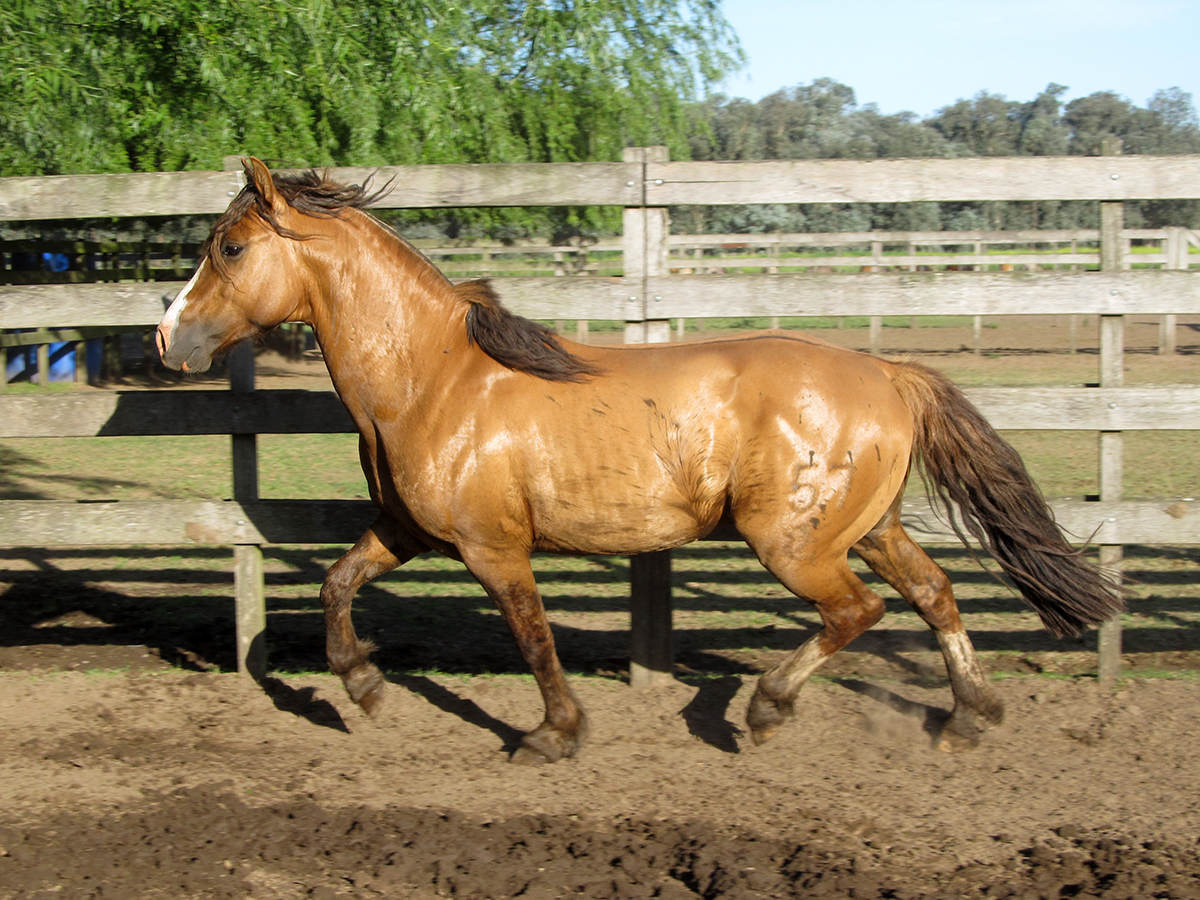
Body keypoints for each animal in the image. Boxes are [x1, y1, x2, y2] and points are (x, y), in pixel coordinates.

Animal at [157, 158, 1123, 764]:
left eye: (230, 248)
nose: (167, 338)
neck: (432, 380)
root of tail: (889, 372)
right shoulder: (404, 530)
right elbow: (335, 581)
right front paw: (361, 688)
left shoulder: (492, 548)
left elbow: (534, 637)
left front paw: (553, 735)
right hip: (869, 527)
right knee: (934, 593)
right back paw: (968, 718)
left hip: (794, 543)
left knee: (859, 612)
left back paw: (766, 708)